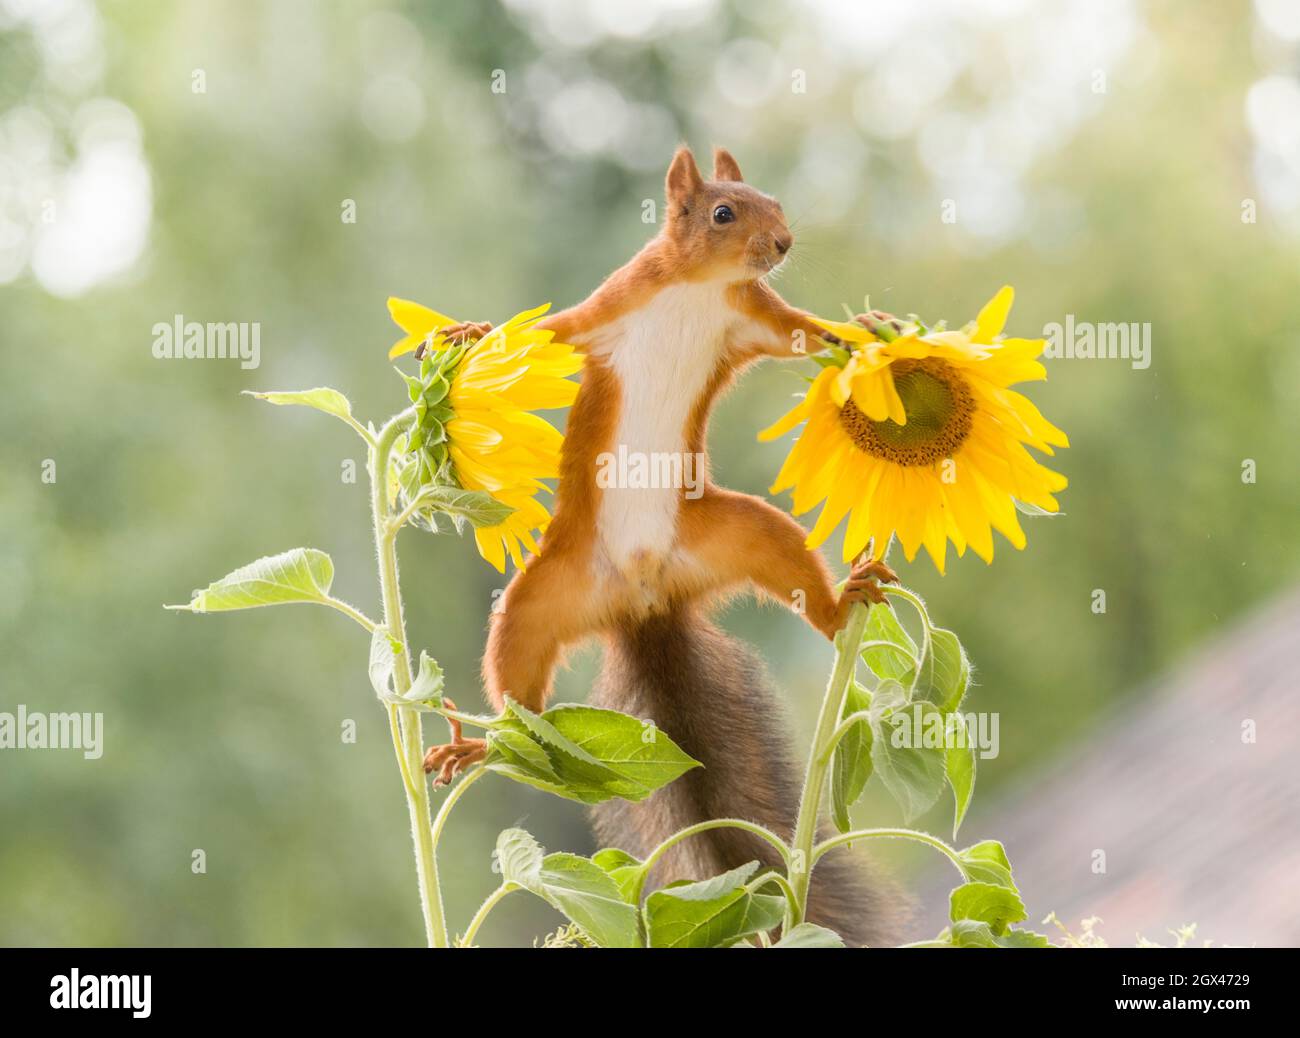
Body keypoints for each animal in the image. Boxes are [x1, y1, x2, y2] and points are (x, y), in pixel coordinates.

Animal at [423, 146, 904, 945]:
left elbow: (808, 336)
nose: (783, 244)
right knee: (517, 691)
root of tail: (645, 603)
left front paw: (866, 330)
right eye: (722, 213)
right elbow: (548, 335)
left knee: (799, 582)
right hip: (536, 605)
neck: (696, 287)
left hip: (746, 535)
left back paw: (844, 605)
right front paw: (470, 334)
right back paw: (477, 743)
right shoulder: (609, 306)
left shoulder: (755, 320)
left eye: (774, 201)